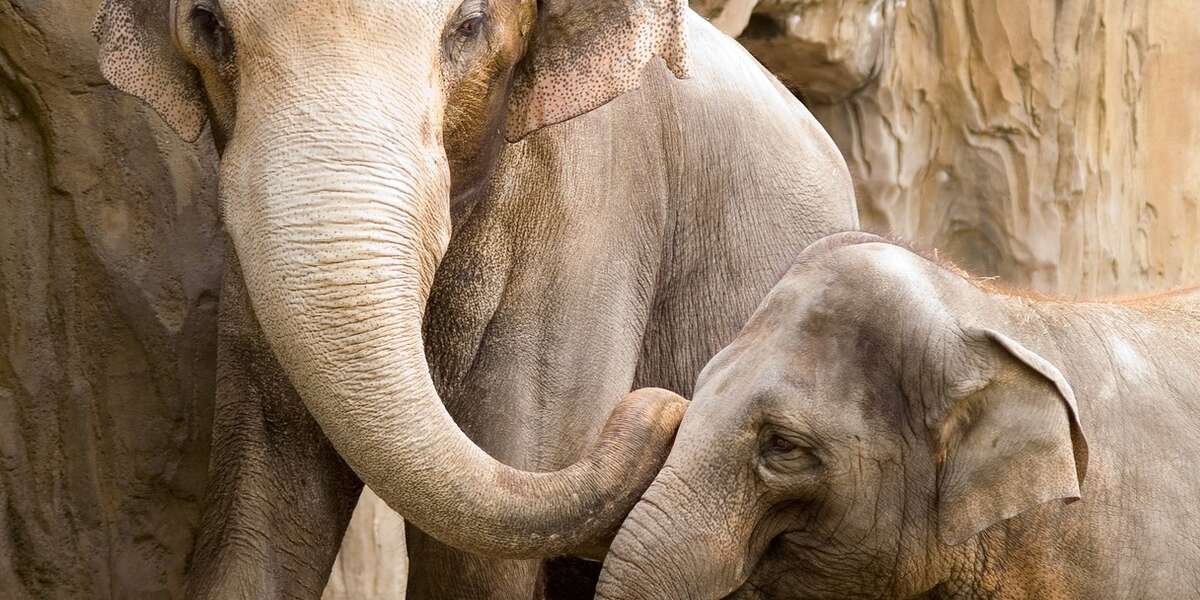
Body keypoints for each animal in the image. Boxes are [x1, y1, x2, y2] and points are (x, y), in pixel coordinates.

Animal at [92, 0, 857, 597]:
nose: (667, 407)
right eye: (208, 23)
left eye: (468, 25)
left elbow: (476, 551)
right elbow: (263, 505)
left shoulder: (592, 204)